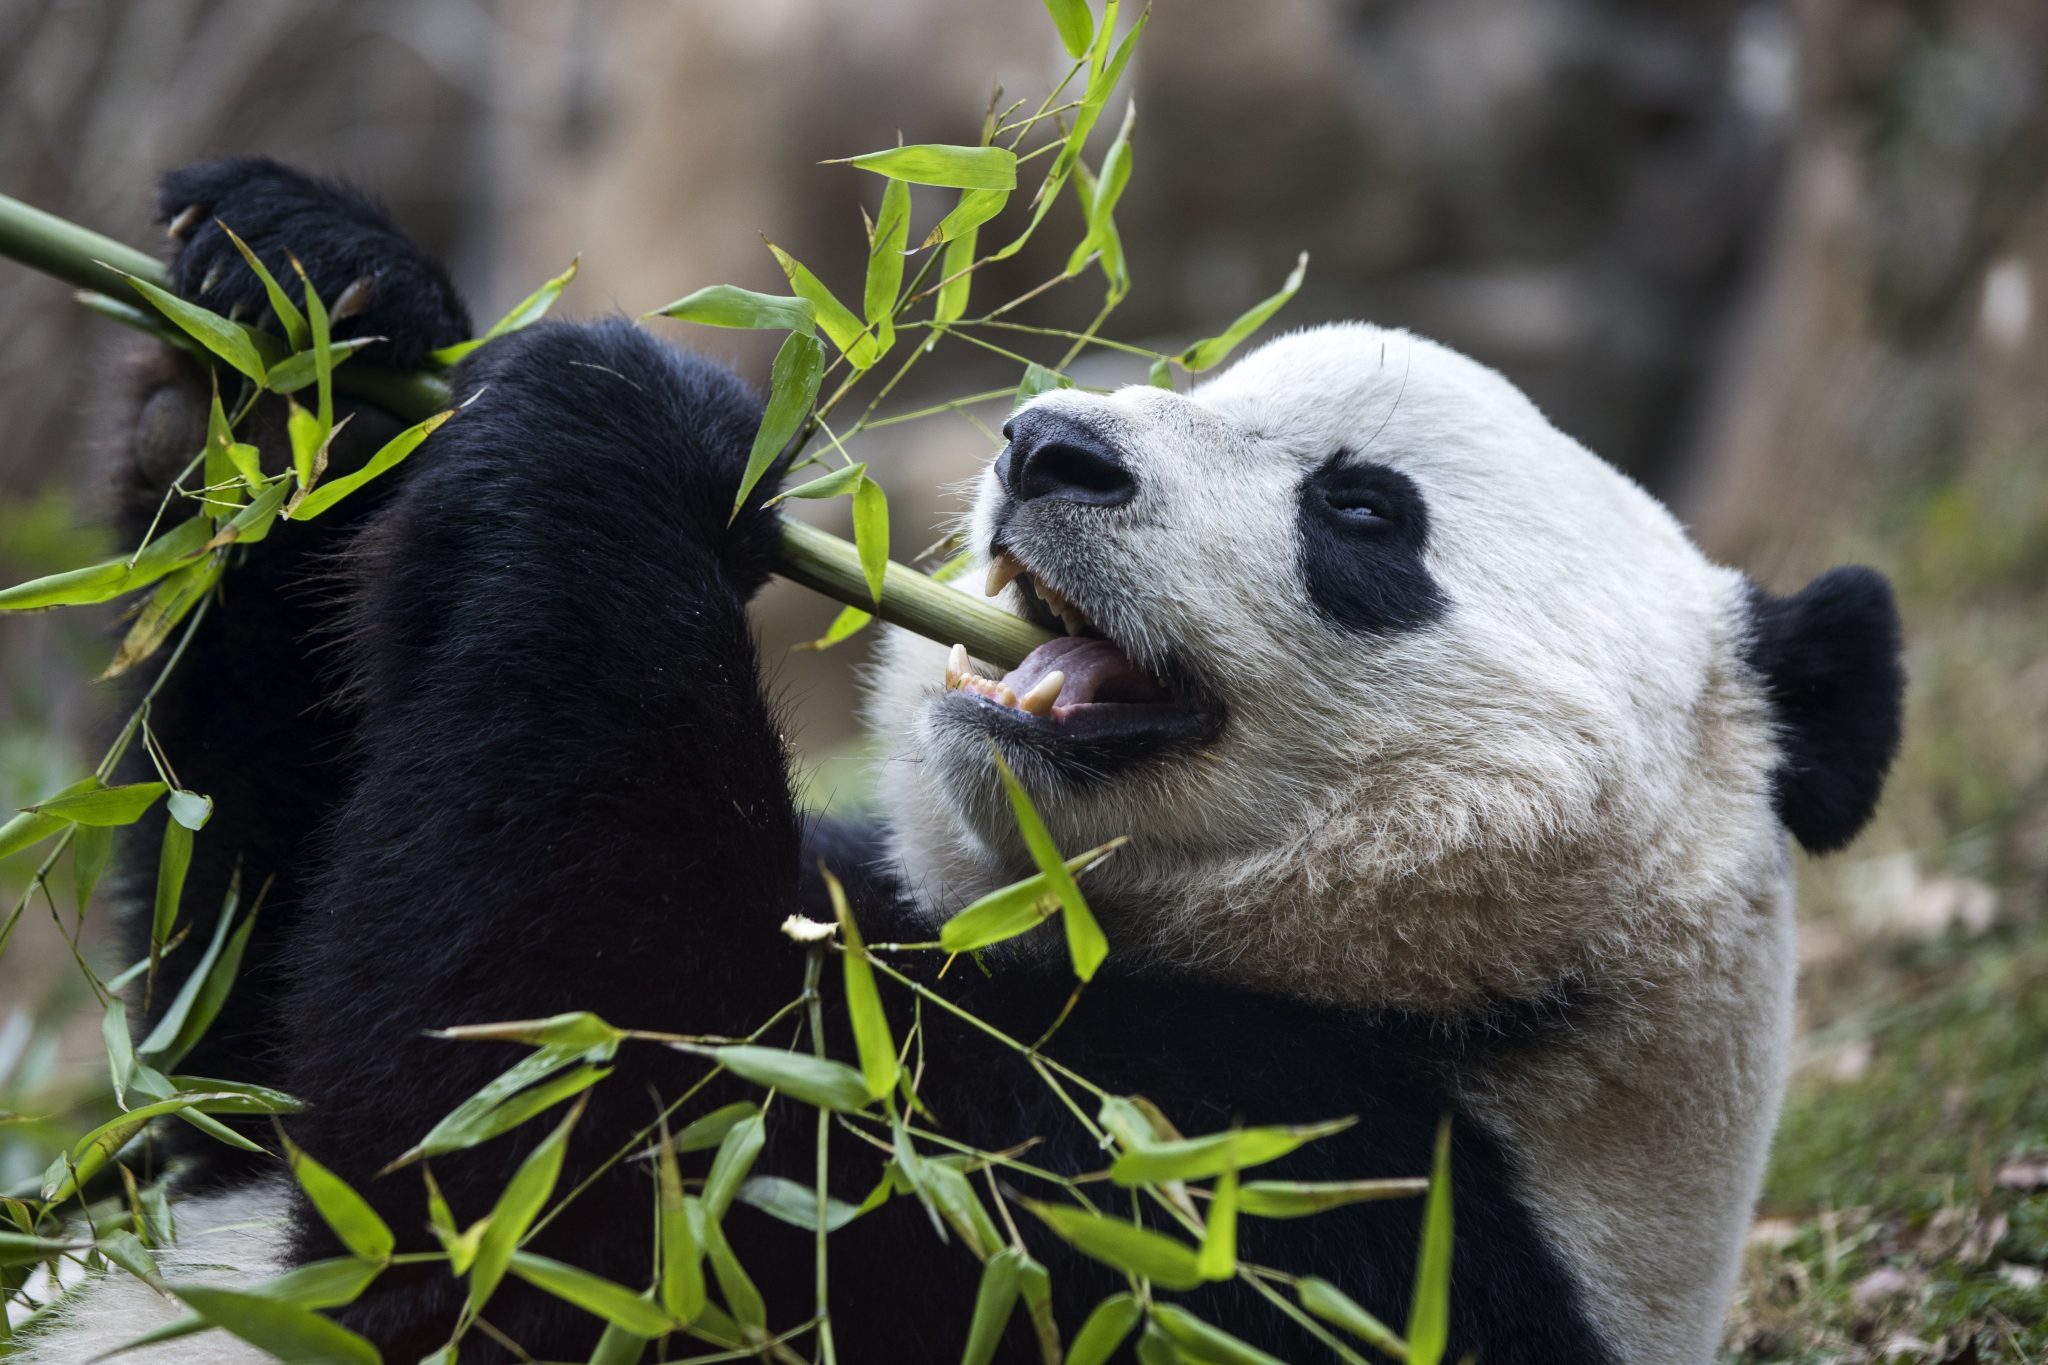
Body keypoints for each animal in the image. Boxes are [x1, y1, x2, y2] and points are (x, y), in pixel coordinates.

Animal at [22, 159, 1904, 1365]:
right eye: (1195, 379)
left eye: (1364, 511)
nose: (1047, 442)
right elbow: (230, 1016)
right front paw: (304, 314)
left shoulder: (1254, 1204)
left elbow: (561, 1149)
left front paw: (635, 426)